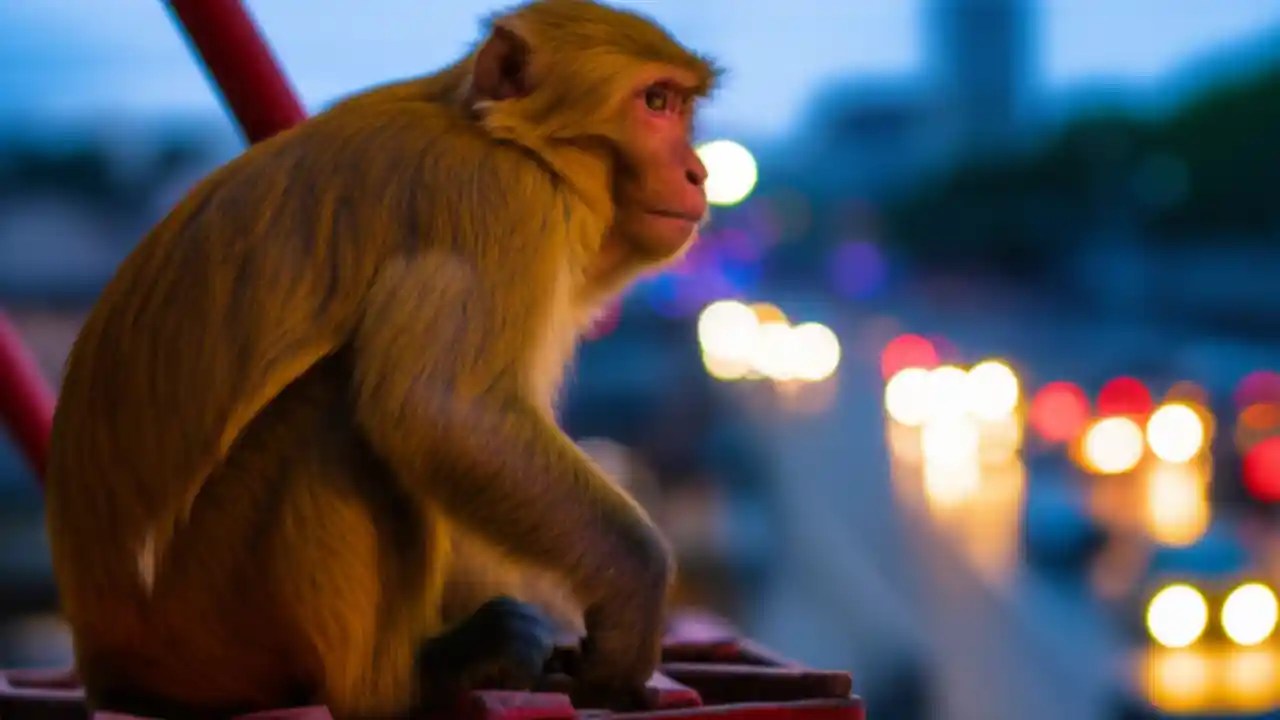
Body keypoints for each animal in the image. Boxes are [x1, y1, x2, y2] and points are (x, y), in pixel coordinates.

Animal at [41, 0, 719, 717]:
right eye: (654, 102)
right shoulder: (500, 201)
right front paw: (636, 591)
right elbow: (443, 413)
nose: (699, 172)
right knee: (334, 407)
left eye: (678, 106)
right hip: (209, 630)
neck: (503, 138)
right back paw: (405, 680)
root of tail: (107, 663)